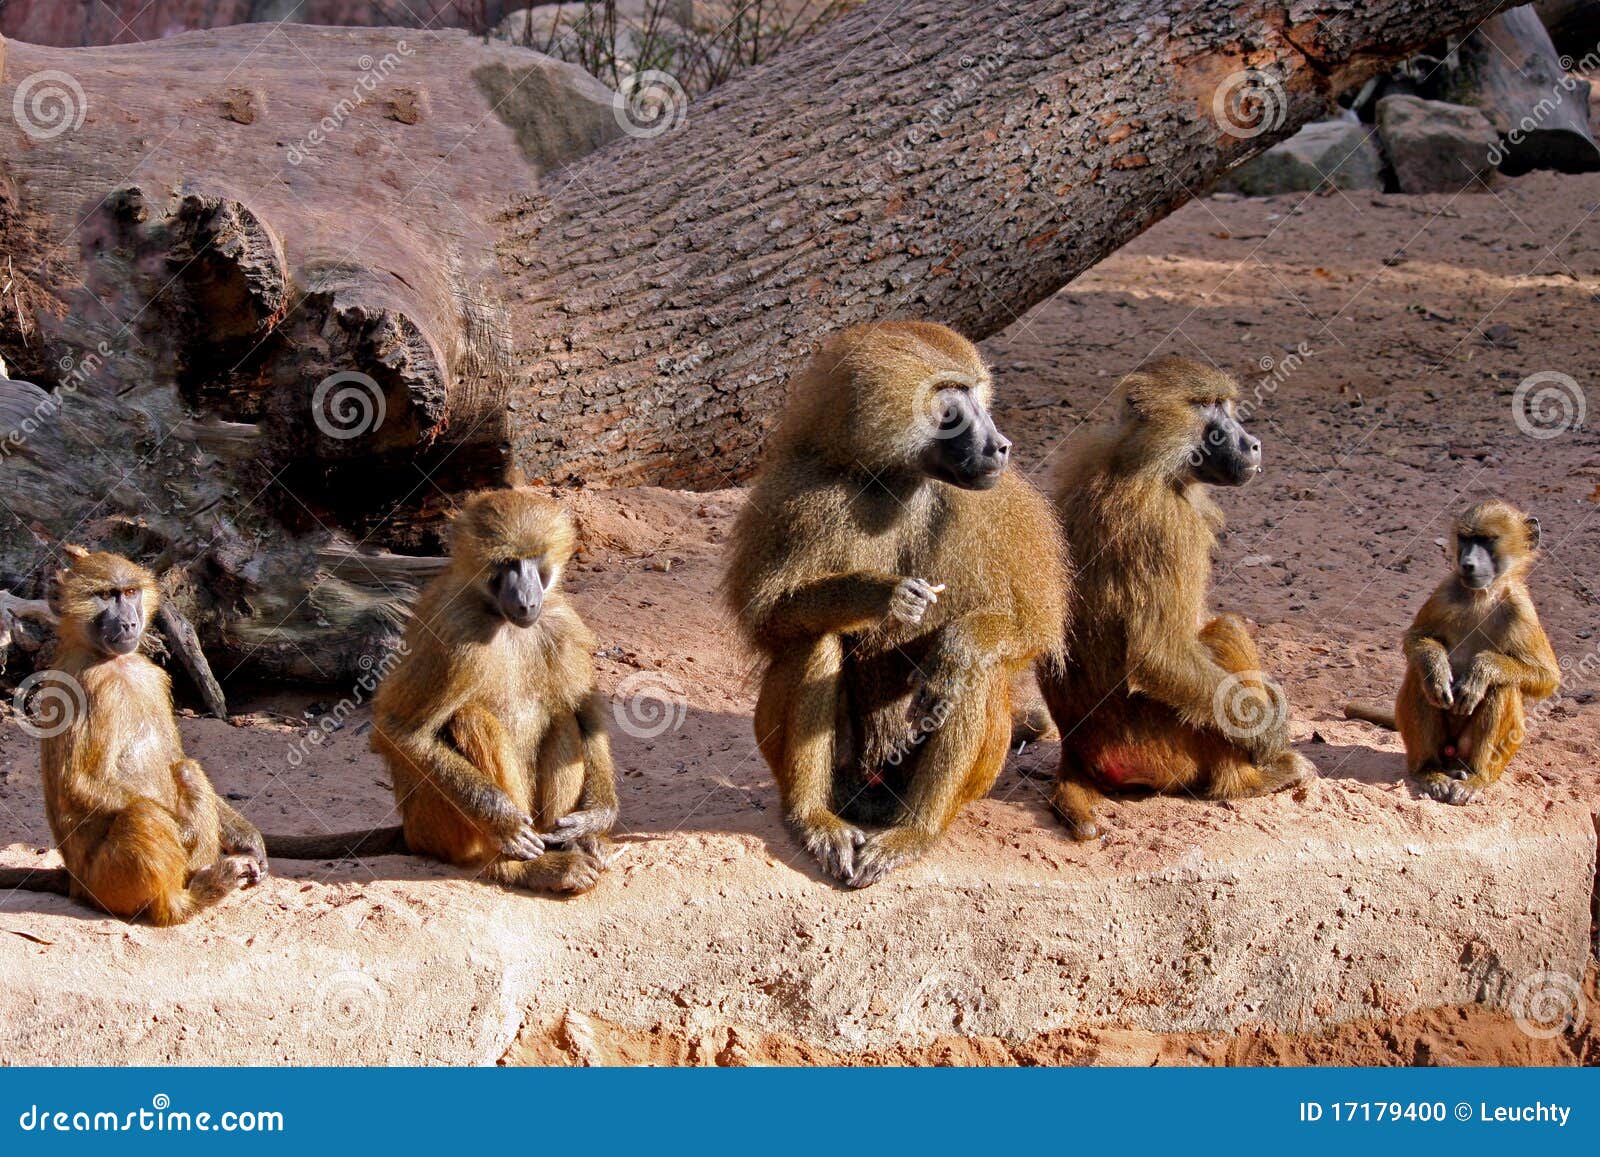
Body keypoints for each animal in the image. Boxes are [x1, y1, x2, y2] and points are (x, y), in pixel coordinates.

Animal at [0, 547, 266, 923]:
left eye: (129, 593)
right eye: (105, 595)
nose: (128, 623)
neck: (113, 662)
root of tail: (77, 885)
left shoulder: (150, 677)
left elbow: (171, 757)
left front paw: (247, 840)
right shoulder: (88, 689)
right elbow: (79, 782)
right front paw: (184, 832)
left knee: (186, 769)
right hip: (108, 884)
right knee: (144, 814)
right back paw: (187, 900)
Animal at [262, 489, 618, 895]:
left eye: (534, 560)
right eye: (506, 564)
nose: (527, 601)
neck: (497, 616)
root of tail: (410, 830)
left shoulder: (561, 624)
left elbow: (586, 715)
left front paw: (596, 818)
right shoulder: (453, 636)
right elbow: (399, 731)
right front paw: (504, 822)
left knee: (562, 718)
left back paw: (573, 848)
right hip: (440, 827)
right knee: (471, 718)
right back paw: (524, 868)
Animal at [724, 321, 1069, 888]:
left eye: (978, 395)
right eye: (952, 404)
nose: (1001, 447)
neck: (898, 477)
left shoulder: (1003, 502)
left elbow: (1033, 627)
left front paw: (956, 647)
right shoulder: (800, 494)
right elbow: (770, 620)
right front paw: (883, 594)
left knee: (977, 672)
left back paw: (915, 832)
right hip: (840, 775)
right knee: (816, 639)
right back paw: (814, 819)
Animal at [1036, 356, 1316, 840]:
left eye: (1225, 403)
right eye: (1205, 406)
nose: (1253, 444)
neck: (1141, 459)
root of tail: (1074, 747)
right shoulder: (1168, 526)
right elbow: (1159, 656)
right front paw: (1271, 731)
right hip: (1165, 747)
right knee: (1226, 632)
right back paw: (1256, 779)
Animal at [1343, 500, 1559, 804]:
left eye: (1487, 540)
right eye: (1466, 538)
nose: (1467, 564)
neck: (1482, 595)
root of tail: (1452, 759)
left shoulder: (1521, 609)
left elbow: (1547, 678)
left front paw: (1481, 672)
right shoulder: (1444, 590)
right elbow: (1415, 640)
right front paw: (1437, 668)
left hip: (1485, 754)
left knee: (1501, 687)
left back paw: (1476, 779)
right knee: (1419, 675)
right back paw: (1429, 771)